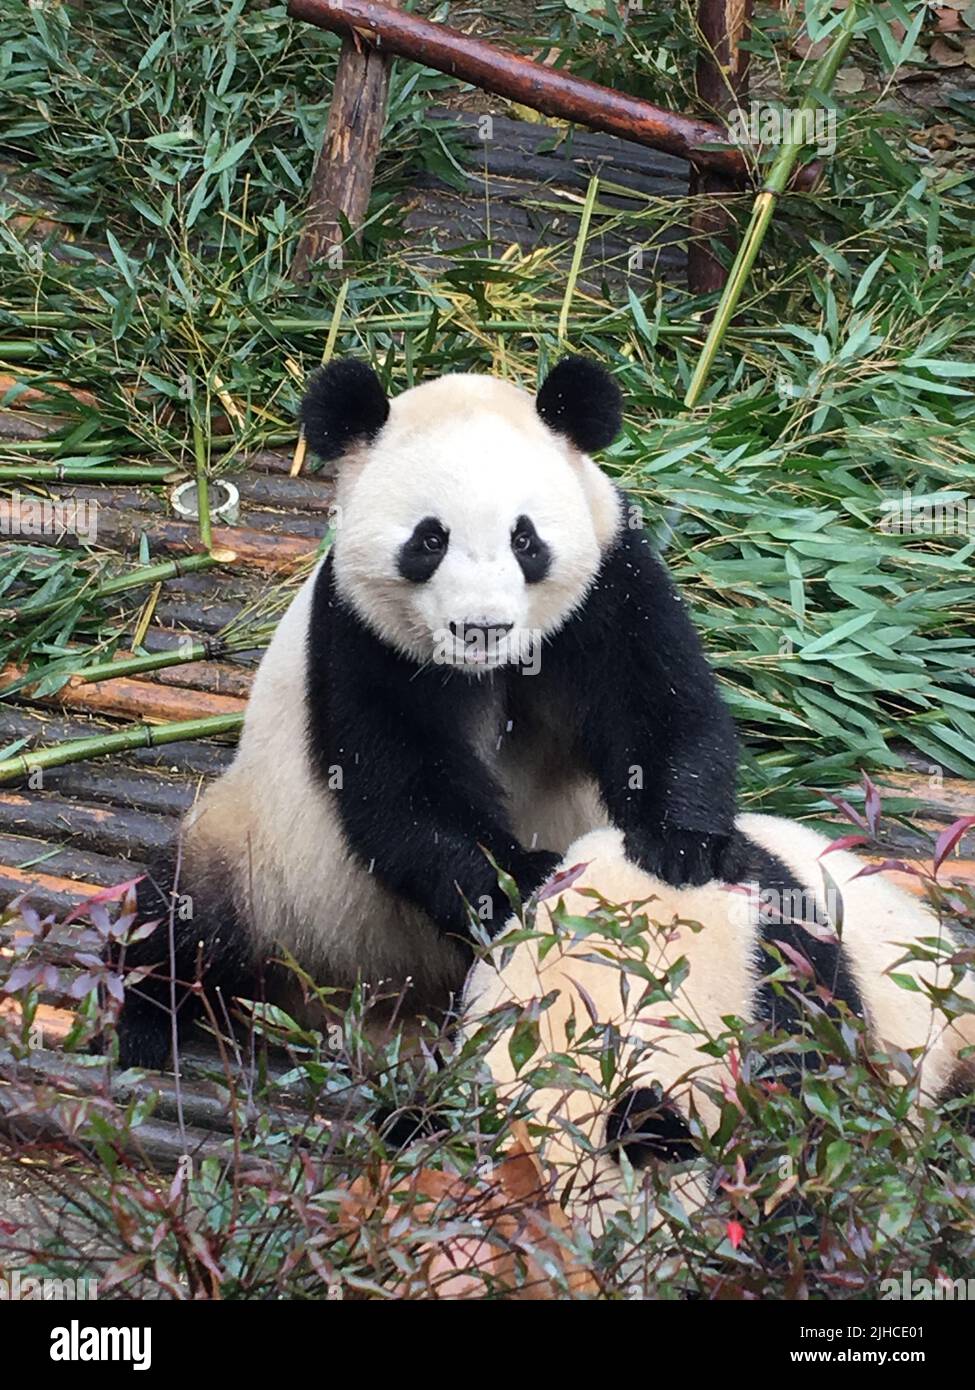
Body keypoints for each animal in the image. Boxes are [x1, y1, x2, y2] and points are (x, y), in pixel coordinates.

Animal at [117, 355, 742, 1071]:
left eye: (525, 538)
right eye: (429, 540)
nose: (481, 627)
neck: (493, 668)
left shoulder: (610, 587)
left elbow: (659, 709)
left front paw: (677, 849)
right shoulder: (360, 637)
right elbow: (403, 790)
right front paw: (525, 880)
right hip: (260, 860)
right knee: (184, 915)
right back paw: (149, 1022)